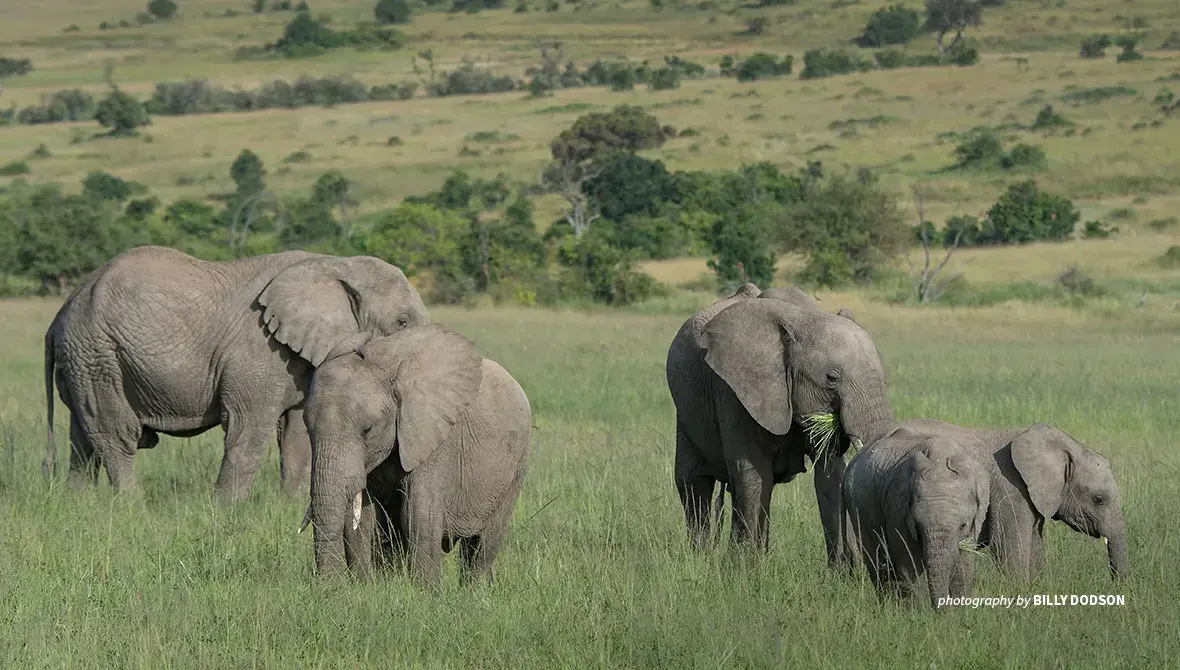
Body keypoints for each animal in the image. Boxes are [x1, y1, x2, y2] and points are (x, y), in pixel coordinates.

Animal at [43, 245, 428, 503]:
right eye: (401, 322)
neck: (338, 264)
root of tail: (60, 313)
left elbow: (296, 433)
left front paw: (287, 505)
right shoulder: (258, 348)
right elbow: (248, 429)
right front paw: (225, 512)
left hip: (84, 360)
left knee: (82, 436)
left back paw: (78, 503)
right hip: (98, 352)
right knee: (114, 433)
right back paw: (132, 506)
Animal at [300, 323, 532, 589]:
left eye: (367, 430)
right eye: (307, 429)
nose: (329, 589)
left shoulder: (435, 438)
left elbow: (418, 515)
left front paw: (425, 593)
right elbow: (360, 520)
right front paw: (365, 588)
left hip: (516, 467)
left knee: (483, 544)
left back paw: (473, 592)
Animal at [664, 282, 896, 566]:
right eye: (832, 378)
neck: (804, 318)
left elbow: (830, 474)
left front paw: (842, 571)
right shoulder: (735, 392)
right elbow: (752, 472)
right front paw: (744, 568)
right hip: (686, 412)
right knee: (694, 484)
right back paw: (702, 559)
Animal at [842, 426, 990, 610]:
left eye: (962, 526)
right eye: (918, 526)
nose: (942, 612)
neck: (939, 458)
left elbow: (965, 563)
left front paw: (959, 611)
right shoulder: (897, 505)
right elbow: (908, 561)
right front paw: (916, 613)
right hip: (857, 505)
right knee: (876, 560)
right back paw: (887, 607)